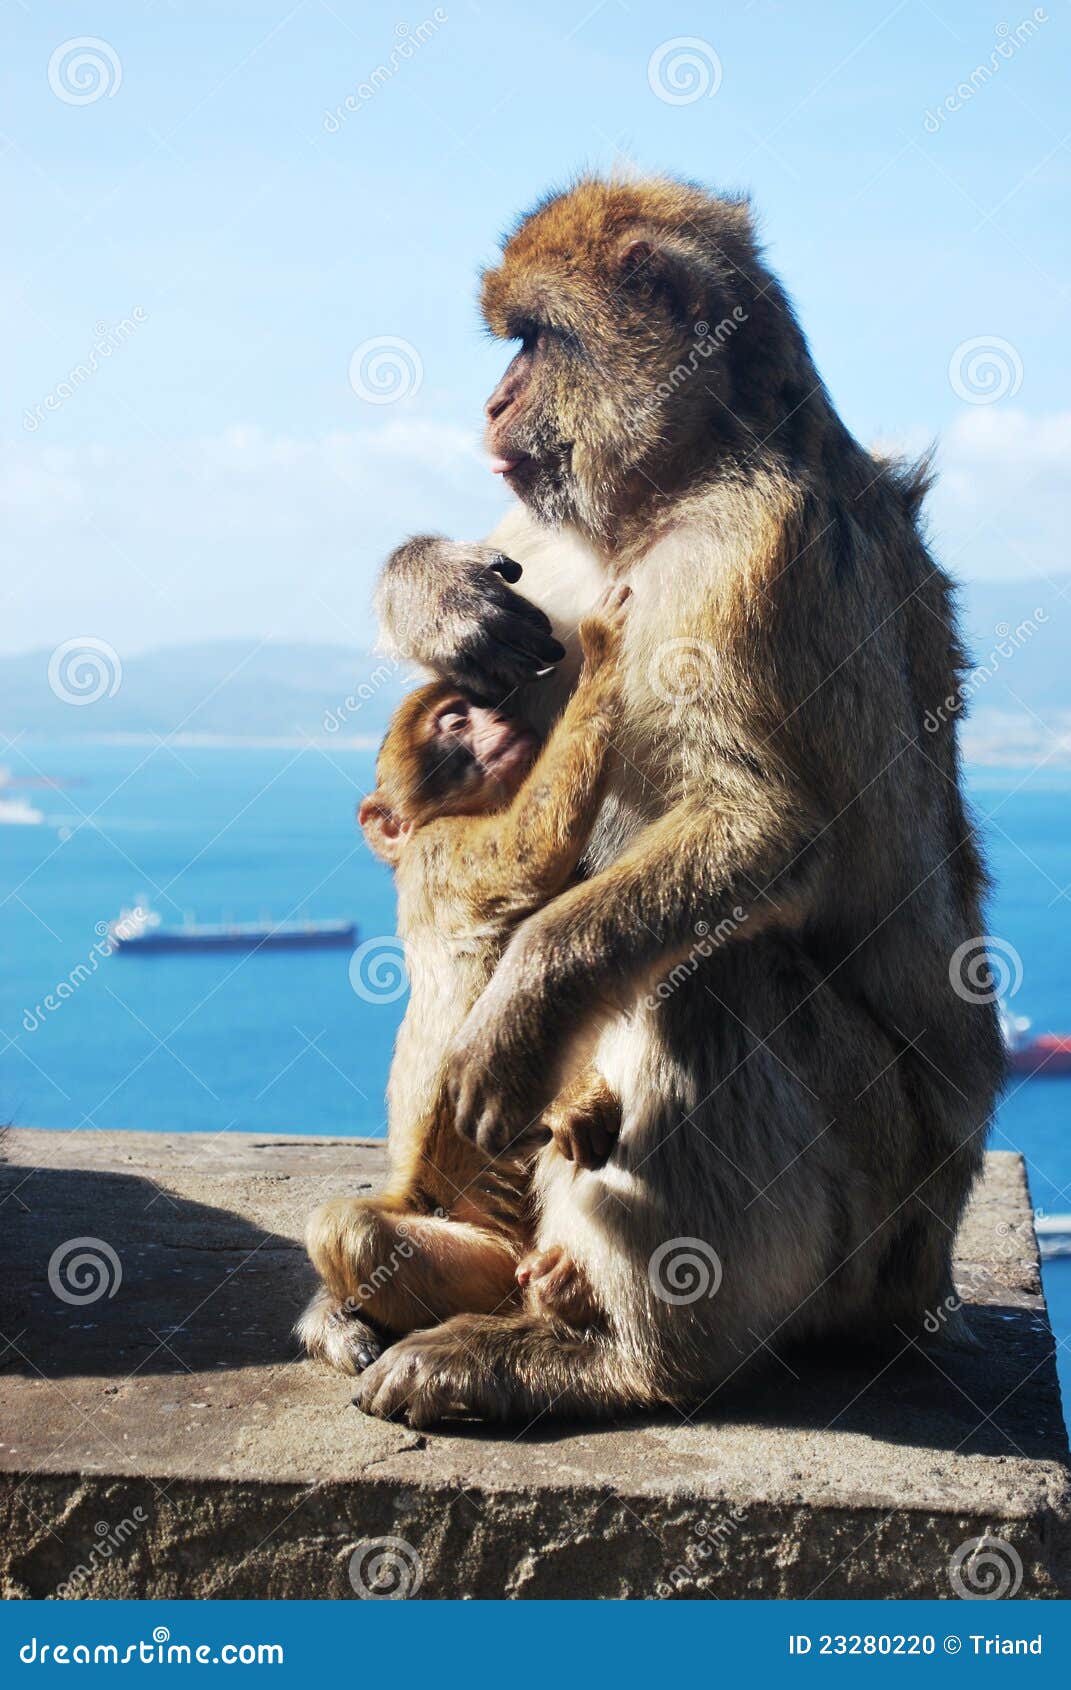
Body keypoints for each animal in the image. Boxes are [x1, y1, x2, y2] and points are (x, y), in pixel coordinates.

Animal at [297, 586, 629, 1374]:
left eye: (483, 706)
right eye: (455, 719)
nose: (499, 720)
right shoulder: (440, 856)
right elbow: (529, 849)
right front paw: (602, 655)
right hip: (473, 1250)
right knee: (350, 1230)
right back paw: (549, 1297)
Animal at [346, 174, 1004, 1428]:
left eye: (535, 341)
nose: (494, 399)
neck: (677, 486)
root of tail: (931, 1268)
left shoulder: (750, 553)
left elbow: (762, 827)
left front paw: (516, 1010)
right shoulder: (546, 546)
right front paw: (439, 589)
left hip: (880, 1220)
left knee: (708, 977)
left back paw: (629, 1362)